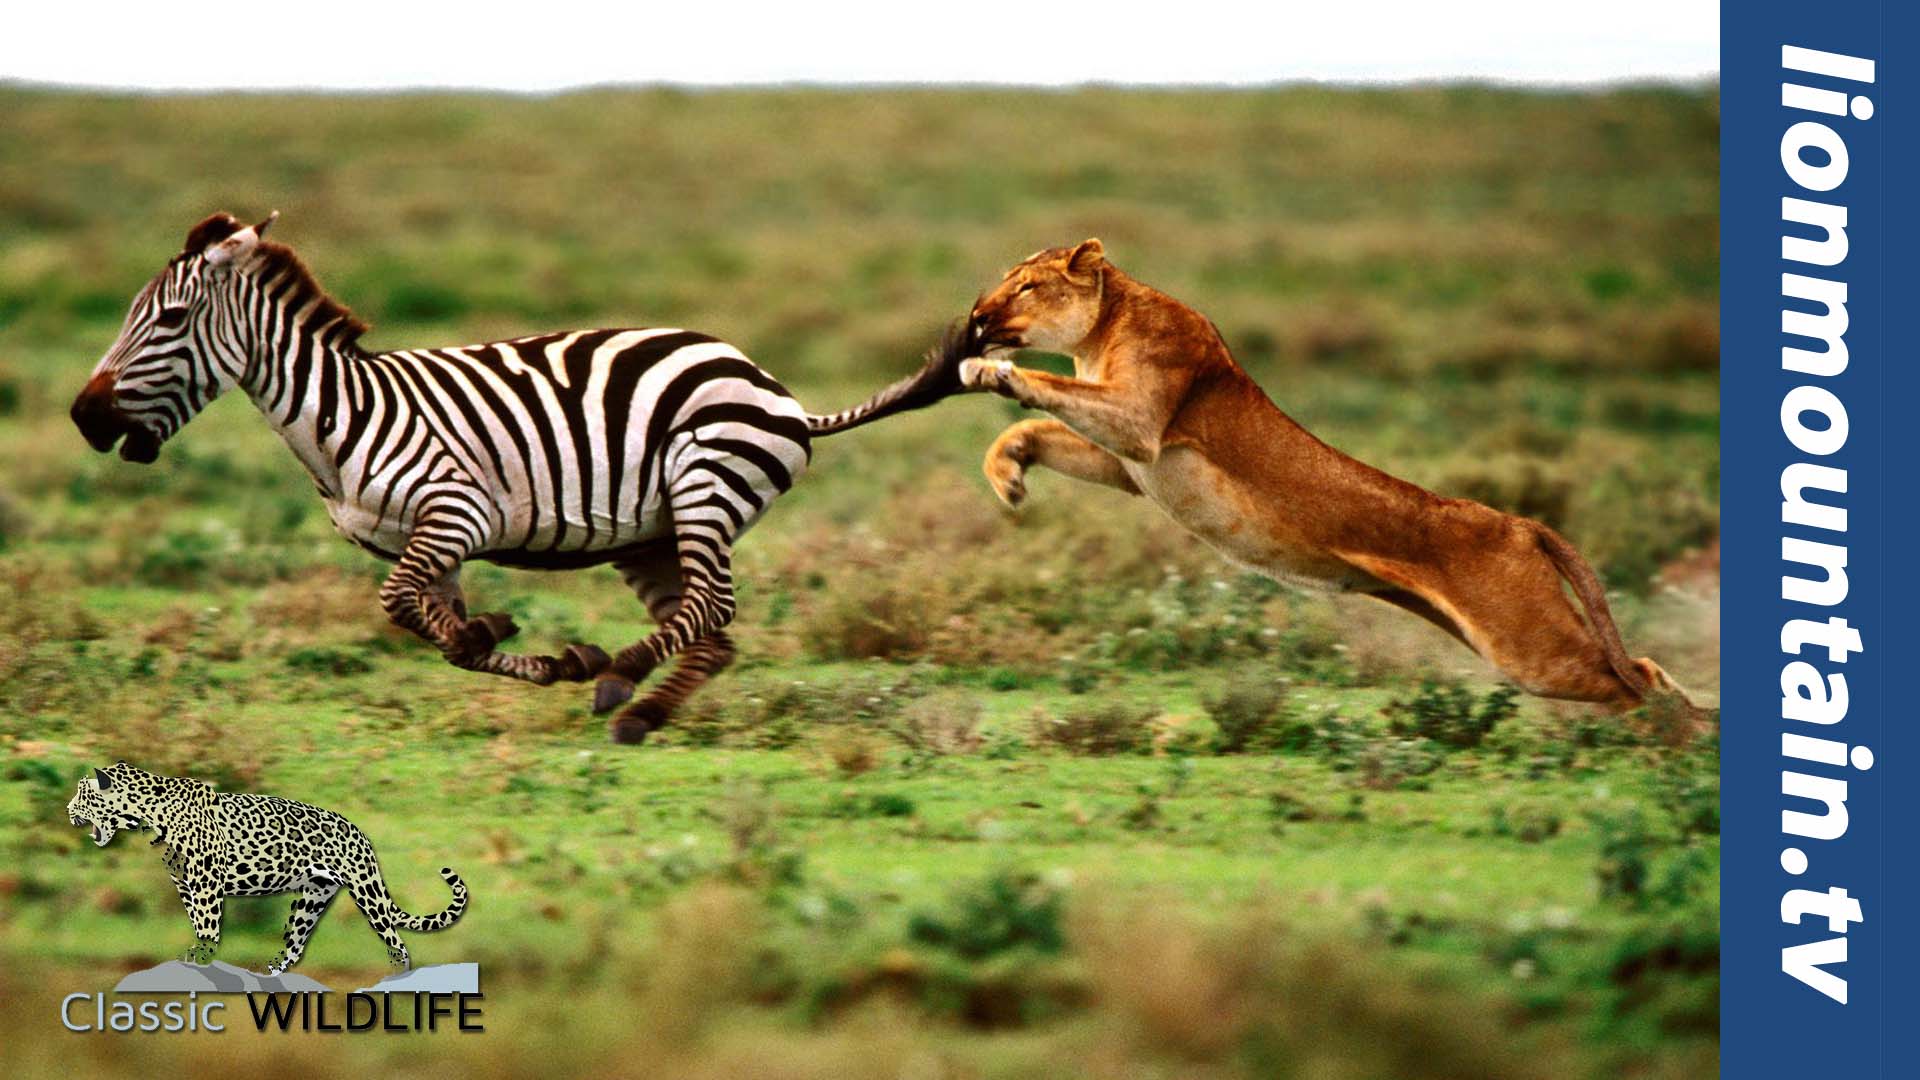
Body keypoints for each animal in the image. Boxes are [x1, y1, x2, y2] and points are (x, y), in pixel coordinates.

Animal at [71, 212, 968, 743]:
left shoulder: (455, 512)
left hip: (705, 483)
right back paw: (644, 709)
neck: (340, 415)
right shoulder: (421, 544)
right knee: (713, 630)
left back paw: (621, 677)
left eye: (169, 319)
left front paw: (539, 650)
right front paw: (506, 641)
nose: (85, 419)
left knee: (711, 608)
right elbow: (432, 629)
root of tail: (777, 391)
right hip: (651, 532)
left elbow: (399, 607)